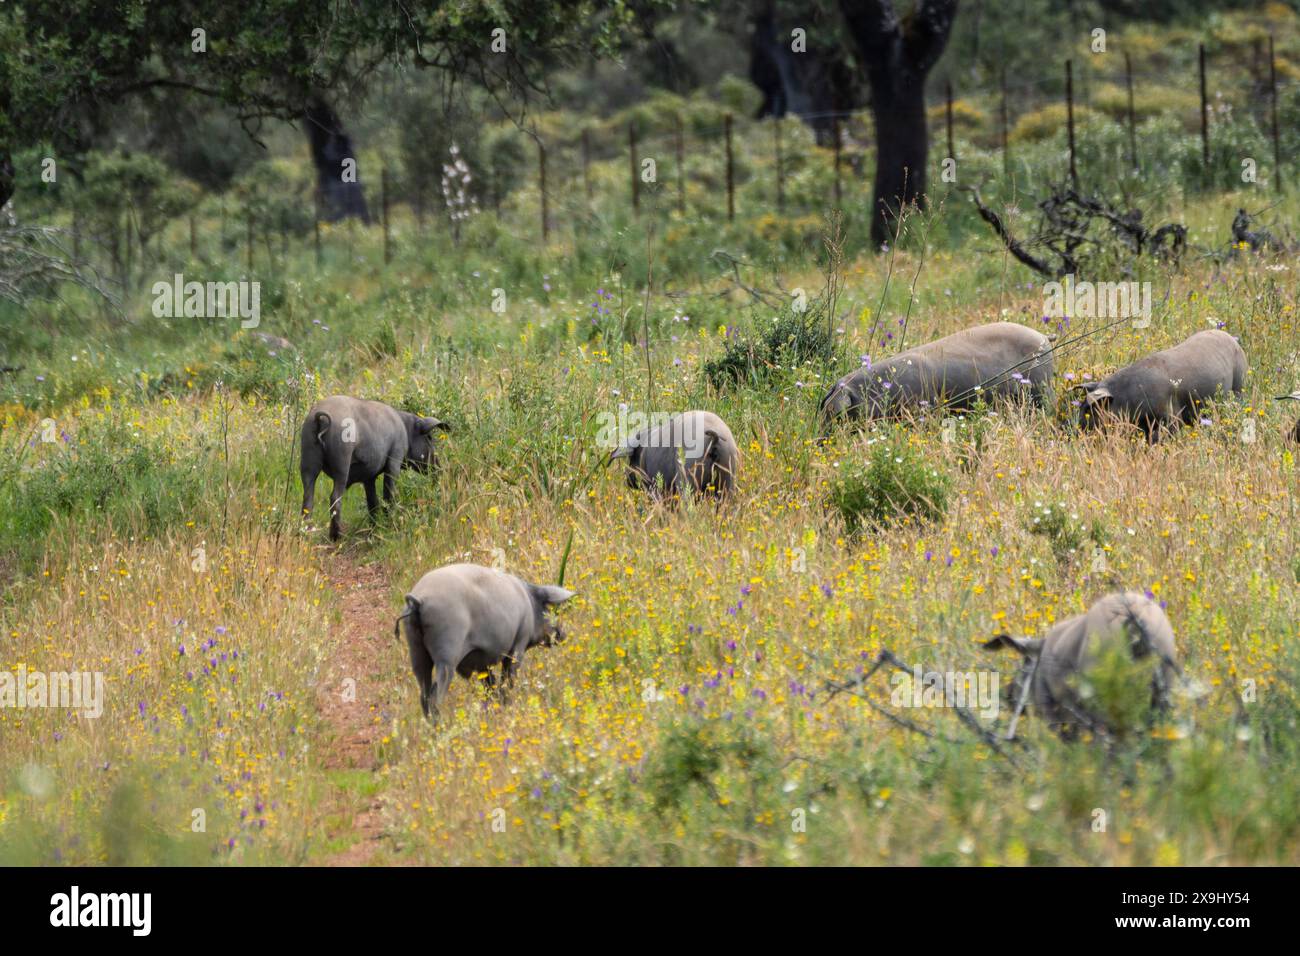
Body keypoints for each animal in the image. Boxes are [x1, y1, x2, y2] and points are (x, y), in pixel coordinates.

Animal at [300, 395, 448, 541]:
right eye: (429, 437)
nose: (440, 468)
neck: (406, 431)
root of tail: (320, 417)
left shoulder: (369, 477)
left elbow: (373, 502)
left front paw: (374, 530)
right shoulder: (394, 461)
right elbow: (389, 495)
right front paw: (389, 527)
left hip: (308, 463)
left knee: (307, 500)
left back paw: (305, 534)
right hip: (342, 464)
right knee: (335, 498)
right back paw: (337, 537)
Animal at [395, 563, 576, 722]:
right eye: (549, 609)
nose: (562, 635)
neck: (530, 605)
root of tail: (419, 600)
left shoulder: (481, 661)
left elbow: (490, 686)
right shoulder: (519, 643)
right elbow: (507, 681)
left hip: (416, 651)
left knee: (423, 696)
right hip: (447, 652)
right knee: (434, 698)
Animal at [607, 410, 738, 499]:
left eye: (631, 459)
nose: (628, 482)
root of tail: (714, 438)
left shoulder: (652, 485)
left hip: (687, 476)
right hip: (728, 476)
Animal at [1075, 329, 1247, 442]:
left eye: (1089, 410)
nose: (1075, 429)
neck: (1126, 398)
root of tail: (1233, 340)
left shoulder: (1171, 415)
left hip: (1239, 385)